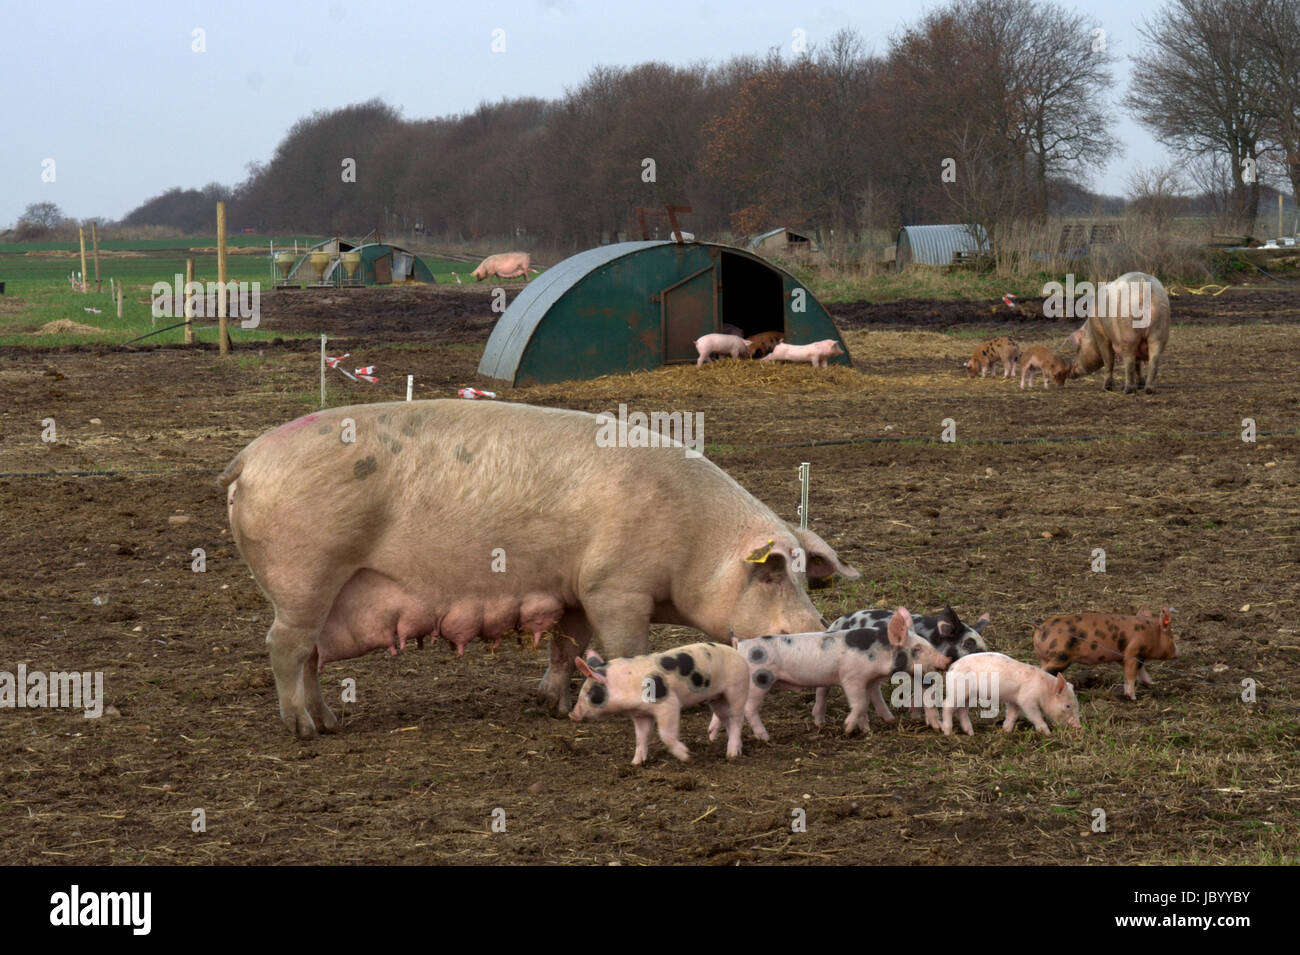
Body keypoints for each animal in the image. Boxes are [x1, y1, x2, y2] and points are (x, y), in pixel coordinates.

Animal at [219, 399, 859, 737]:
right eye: (771, 573)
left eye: (804, 573)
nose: (816, 629)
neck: (696, 539)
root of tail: (247, 458)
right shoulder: (614, 587)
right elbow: (627, 646)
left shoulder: (572, 590)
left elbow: (564, 645)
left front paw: (547, 704)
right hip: (303, 578)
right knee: (283, 646)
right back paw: (302, 730)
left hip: (319, 596)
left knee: (310, 655)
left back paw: (328, 721)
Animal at [569, 643, 749, 764]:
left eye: (589, 692)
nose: (572, 714)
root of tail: (739, 654)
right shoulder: (640, 714)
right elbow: (641, 737)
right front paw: (636, 763)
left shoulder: (668, 704)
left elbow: (665, 734)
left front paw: (687, 756)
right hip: (717, 698)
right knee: (726, 718)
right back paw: (737, 749)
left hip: (737, 688)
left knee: (737, 719)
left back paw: (731, 755)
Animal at [711, 608, 952, 740]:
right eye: (916, 649)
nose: (946, 660)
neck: (877, 652)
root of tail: (741, 643)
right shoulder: (851, 676)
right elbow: (859, 704)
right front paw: (847, 729)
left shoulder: (868, 680)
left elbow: (865, 704)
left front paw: (866, 730)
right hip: (759, 681)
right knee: (750, 709)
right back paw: (765, 738)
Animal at [942, 652, 1081, 735]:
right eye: (1068, 706)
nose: (1079, 726)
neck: (1044, 689)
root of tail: (952, 667)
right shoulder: (1027, 700)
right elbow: (1035, 716)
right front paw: (1048, 733)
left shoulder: (1015, 701)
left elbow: (1012, 715)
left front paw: (1006, 730)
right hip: (958, 690)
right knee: (947, 705)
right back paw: (948, 732)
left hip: (967, 695)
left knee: (961, 710)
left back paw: (971, 733)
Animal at [1032, 608, 1178, 700]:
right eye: (1171, 637)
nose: (1178, 653)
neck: (1152, 633)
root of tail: (1041, 628)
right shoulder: (1133, 652)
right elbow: (1131, 674)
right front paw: (1133, 698)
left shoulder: (1125, 657)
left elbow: (1140, 671)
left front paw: (1151, 684)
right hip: (1060, 657)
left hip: (1045, 657)